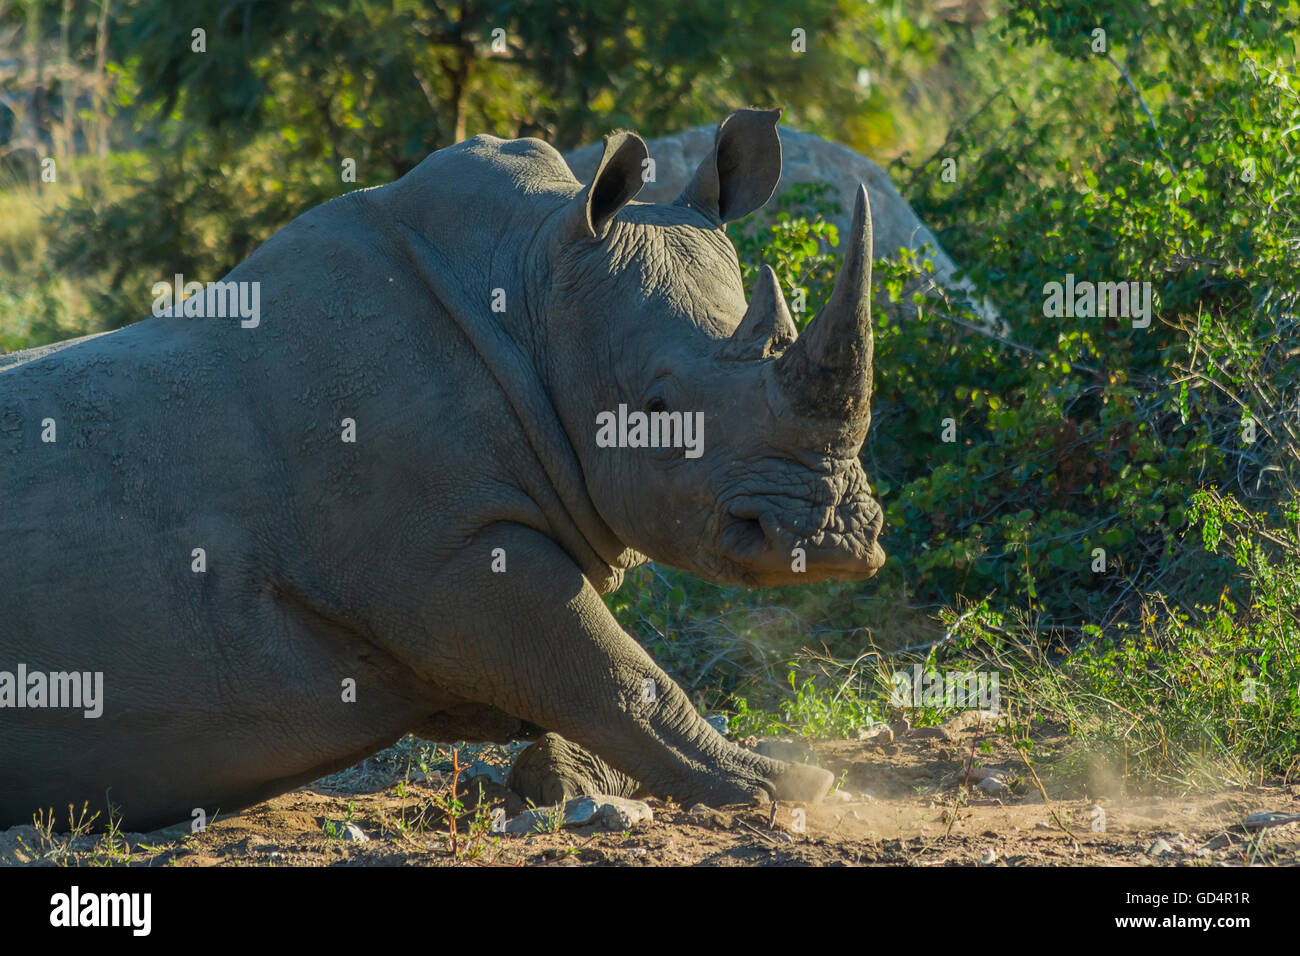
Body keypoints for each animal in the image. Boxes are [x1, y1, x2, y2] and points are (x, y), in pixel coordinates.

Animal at [0, 108, 885, 831]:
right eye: (660, 409)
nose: (833, 537)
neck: (532, 291)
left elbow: (587, 678)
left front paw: (564, 783)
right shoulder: (444, 552)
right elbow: (612, 670)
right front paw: (781, 787)